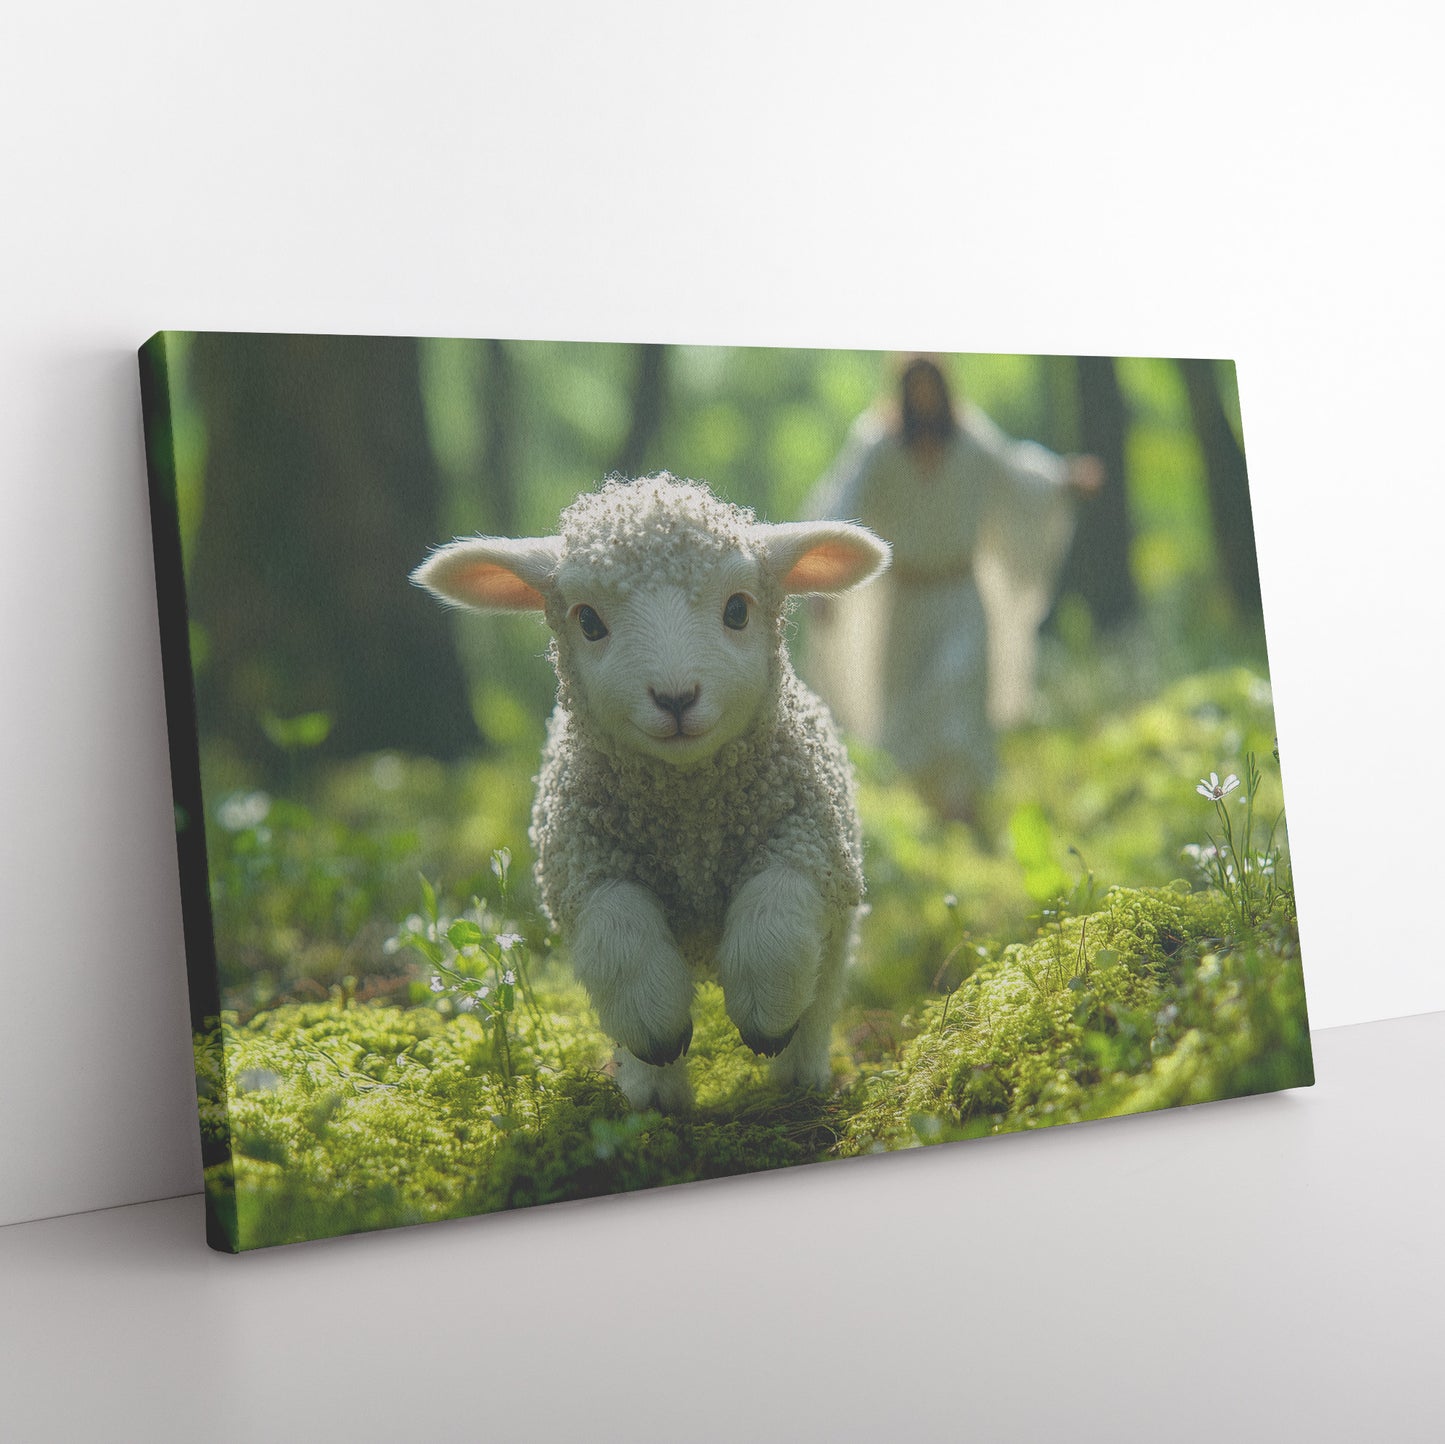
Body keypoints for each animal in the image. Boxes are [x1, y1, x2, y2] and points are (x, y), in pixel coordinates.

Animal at [412, 474, 890, 1111]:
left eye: (737, 609)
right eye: (588, 621)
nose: (675, 697)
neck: (689, 816)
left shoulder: (810, 839)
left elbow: (776, 918)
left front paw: (765, 1018)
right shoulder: (584, 863)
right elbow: (620, 940)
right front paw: (657, 1035)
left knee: (820, 995)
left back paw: (798, 1077)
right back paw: (655, 1095)